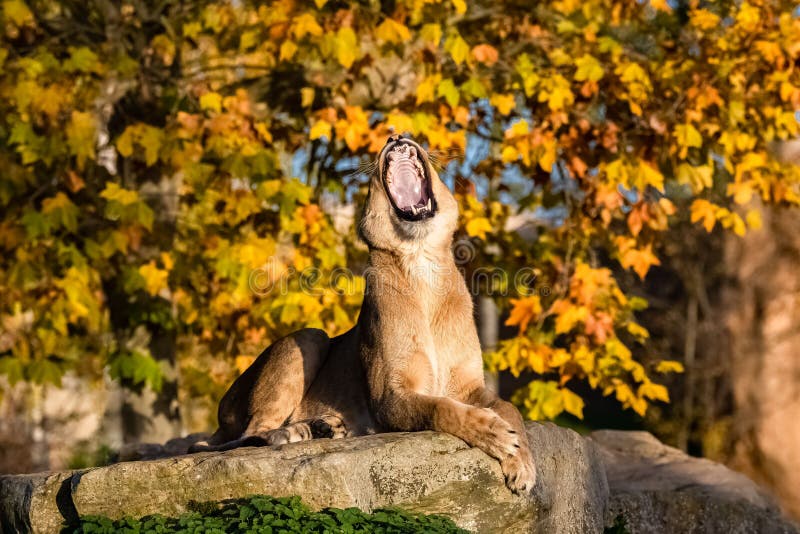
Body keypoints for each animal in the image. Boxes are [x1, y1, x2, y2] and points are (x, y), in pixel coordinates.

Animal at [190, 135, 536, 494]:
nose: (396, 136)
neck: (422, 262)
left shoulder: (469, 386)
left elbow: (510, 408)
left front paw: (521, 462)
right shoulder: (390, 398)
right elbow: (441, 409)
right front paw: (496, 434)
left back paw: (326, 427)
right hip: (310, 336)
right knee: (247, 436)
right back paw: (294, 433)